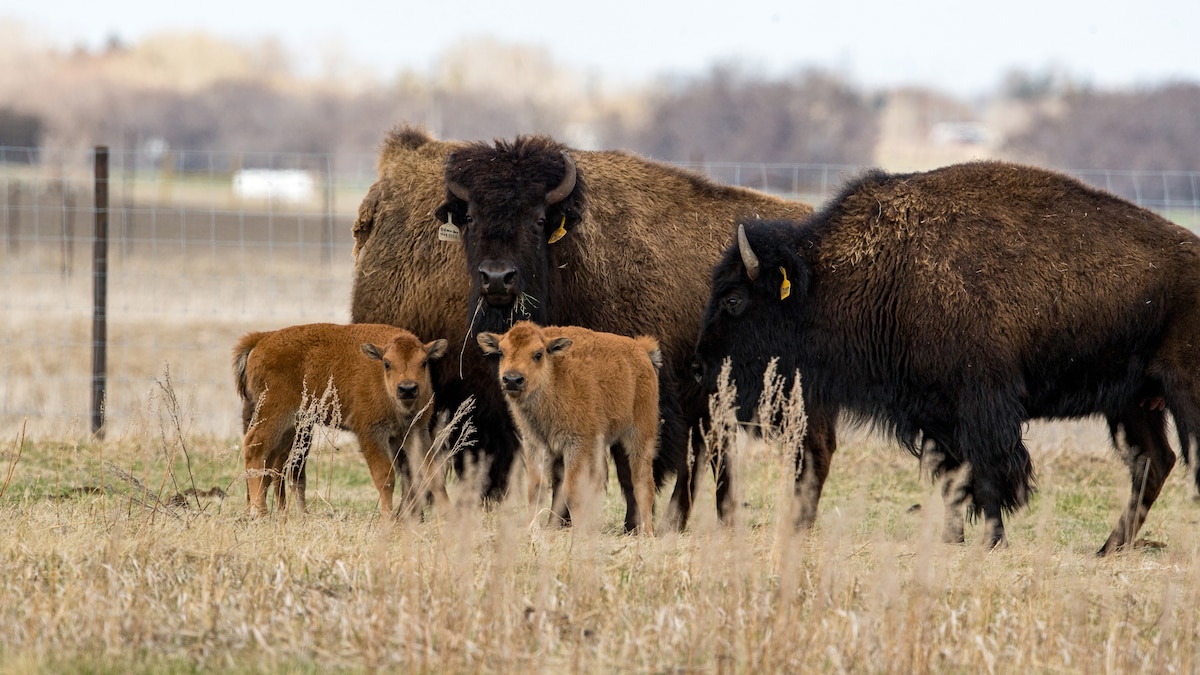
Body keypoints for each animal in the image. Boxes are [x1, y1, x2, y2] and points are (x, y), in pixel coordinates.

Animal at [433, 134, 834, 530]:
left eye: (539, 218)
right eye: (470, 216)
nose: (497, 278)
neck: (574, 251)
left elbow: (632, 466)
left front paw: (633, 523)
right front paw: (560, 521)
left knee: (811, 450)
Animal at [693, 161, 1200, 553]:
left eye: (734, 299)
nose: (700, 365)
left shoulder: (982, 405)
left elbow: (990, 475)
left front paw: (991, 541)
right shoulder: (935, 413)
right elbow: (952, 479)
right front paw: (952, 539)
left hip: (1180, 392)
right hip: (1133, 404)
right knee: (1155, 462)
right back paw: (1108, 548)